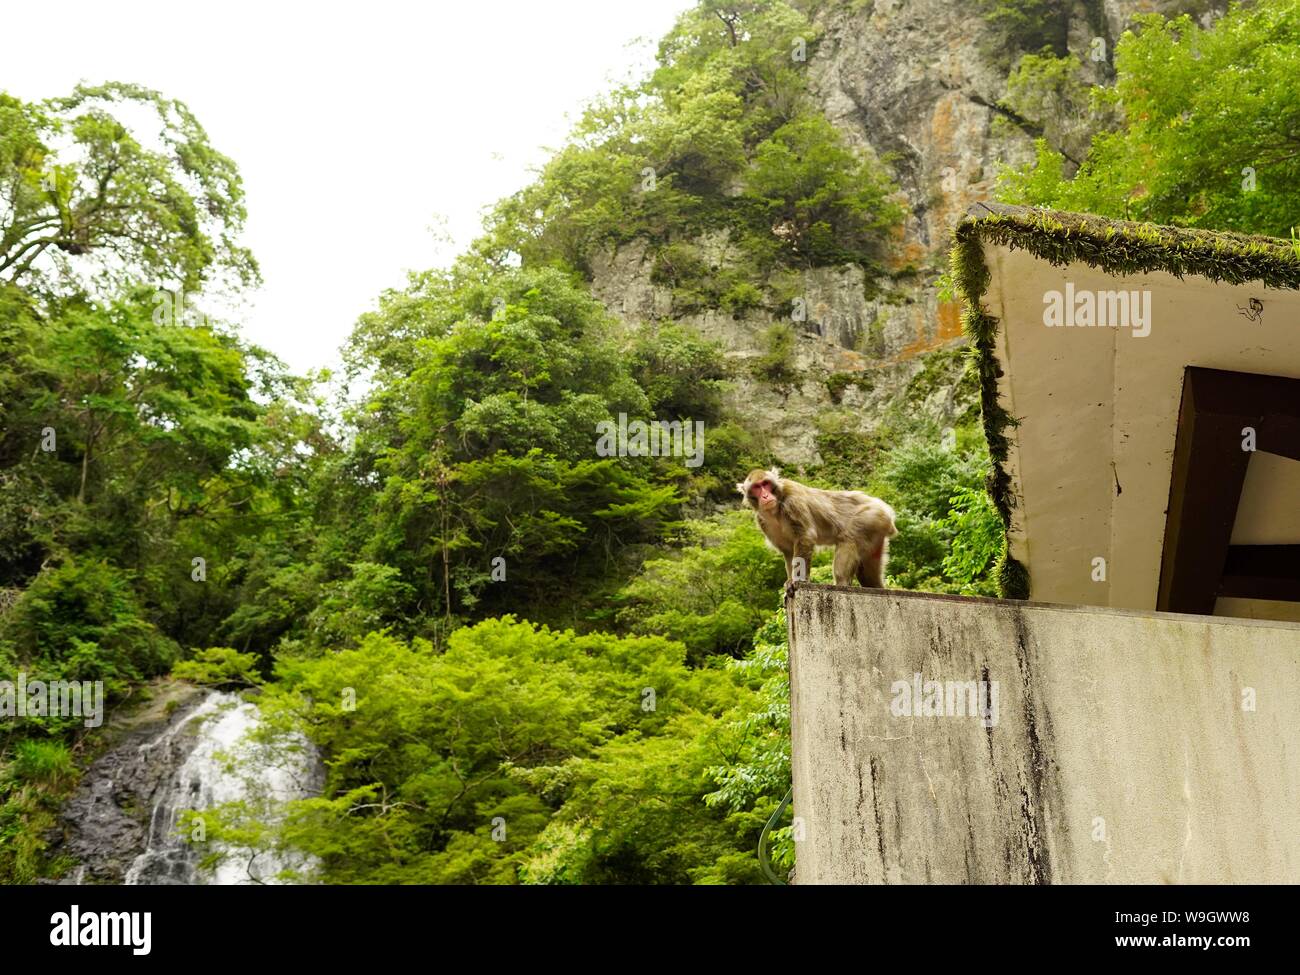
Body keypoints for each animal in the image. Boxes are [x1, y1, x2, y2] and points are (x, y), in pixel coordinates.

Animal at [737, 467, 897, 594]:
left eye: (766, 484)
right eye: (756, 487)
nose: (765, 496)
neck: (776, 508)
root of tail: (886, 510)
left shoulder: (793, 500)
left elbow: (806, 536)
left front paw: (798, 580)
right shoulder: (762, 521)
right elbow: (788, 550)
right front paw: (789, 581)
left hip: (871, 517)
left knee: (849, 539)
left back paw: (842, 584)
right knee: (867, 574)